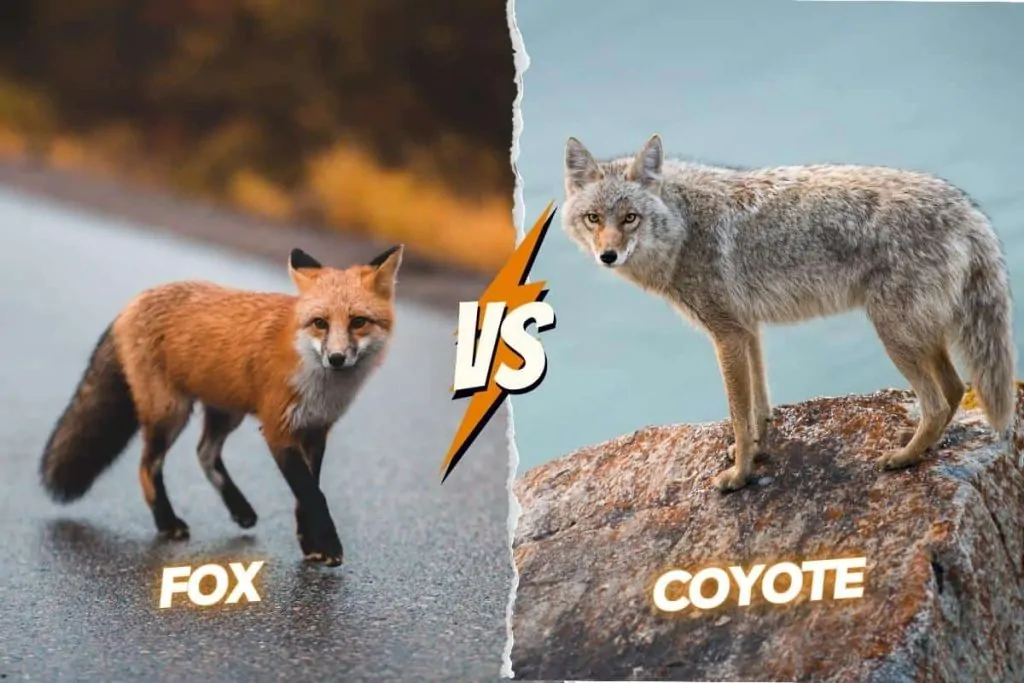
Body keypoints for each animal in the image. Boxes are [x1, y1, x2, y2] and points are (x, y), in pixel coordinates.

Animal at [39, 245, 404, 566]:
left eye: (358, 322)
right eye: (320, 323)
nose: (337, 358)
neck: (317, 380)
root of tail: (133, 303)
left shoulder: (315, 430)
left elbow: (307, 494)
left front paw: (310, 543)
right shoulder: (278, 429)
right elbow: (313, 494)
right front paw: (328, 545)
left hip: (226, 413)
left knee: (204, 453)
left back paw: (239, 509)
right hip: (171, 413)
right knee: (147, 467)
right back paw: (167, 523)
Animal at [562, 134, 1017, 493]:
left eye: (630, 218)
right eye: (593, 218)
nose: (608, 256)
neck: (685, 227)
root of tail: (966, 208)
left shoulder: (726, 335)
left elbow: (739, 413)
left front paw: (739, 476)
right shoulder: (747, 329)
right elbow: (759, 406)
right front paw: (757, 450)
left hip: (897, 335)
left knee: (938, 401)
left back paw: (904, 458)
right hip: (920, 333)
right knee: (955, 389)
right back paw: (925, 447)